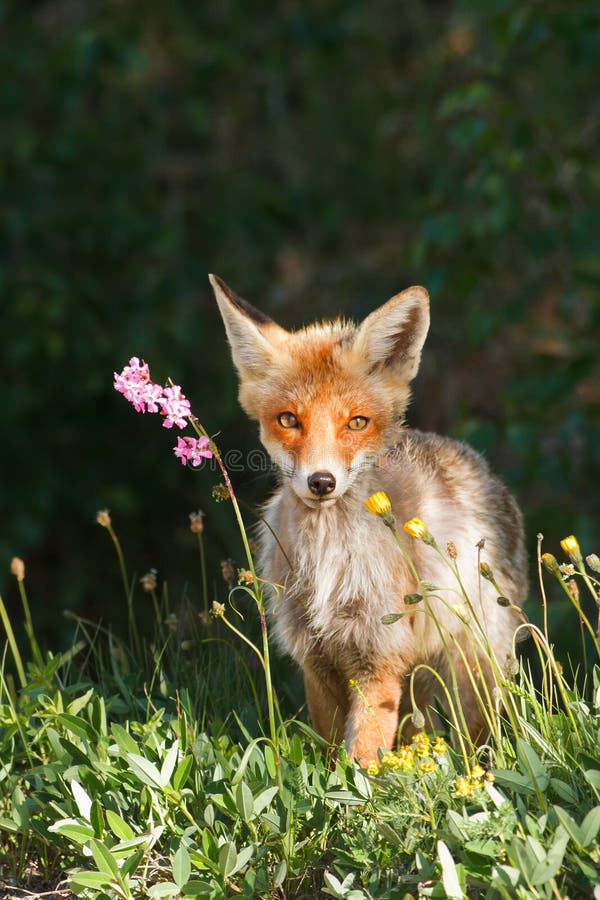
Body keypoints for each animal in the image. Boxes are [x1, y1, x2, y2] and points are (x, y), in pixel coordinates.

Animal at [209, 273, 528, 763]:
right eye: (289, 420)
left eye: (356, 423)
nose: (322, 481)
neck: (327, 568)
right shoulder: (316, 660)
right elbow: (327, 756)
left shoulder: (378, 659)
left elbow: (361, 762)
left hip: (471, 672)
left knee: (474, 740)